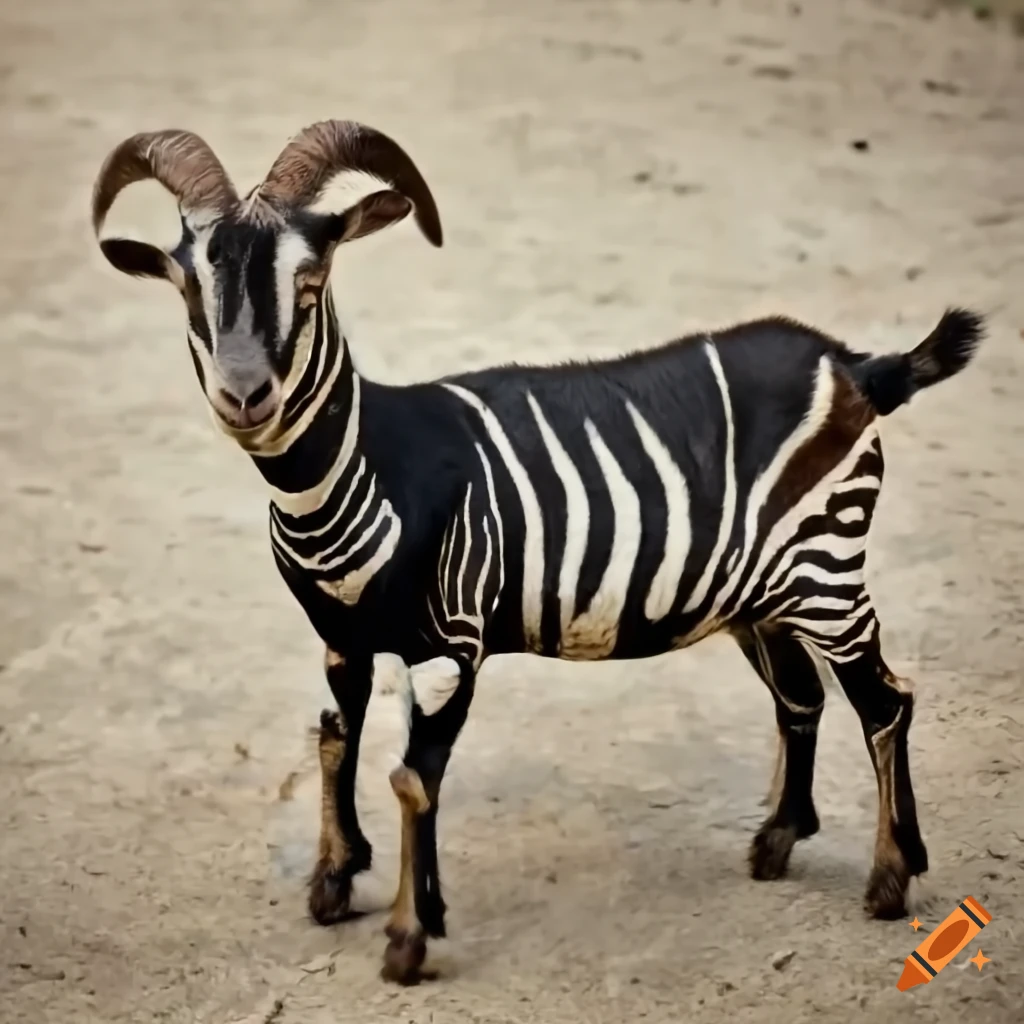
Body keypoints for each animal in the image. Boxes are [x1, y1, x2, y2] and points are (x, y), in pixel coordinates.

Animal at [91, 120, 985, 985]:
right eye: (191, 296)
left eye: (308, 290)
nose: (245, 399)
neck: (360, 472)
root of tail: (852, 362)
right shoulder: (343, 639)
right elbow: (335, 737)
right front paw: (338, 882)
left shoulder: (449, 643)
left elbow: (412, 778)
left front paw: (409, 938)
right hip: (760, 595)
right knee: (801, 699)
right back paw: (777, 840)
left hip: (826, 567)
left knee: (886, 701)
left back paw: (890, 876)